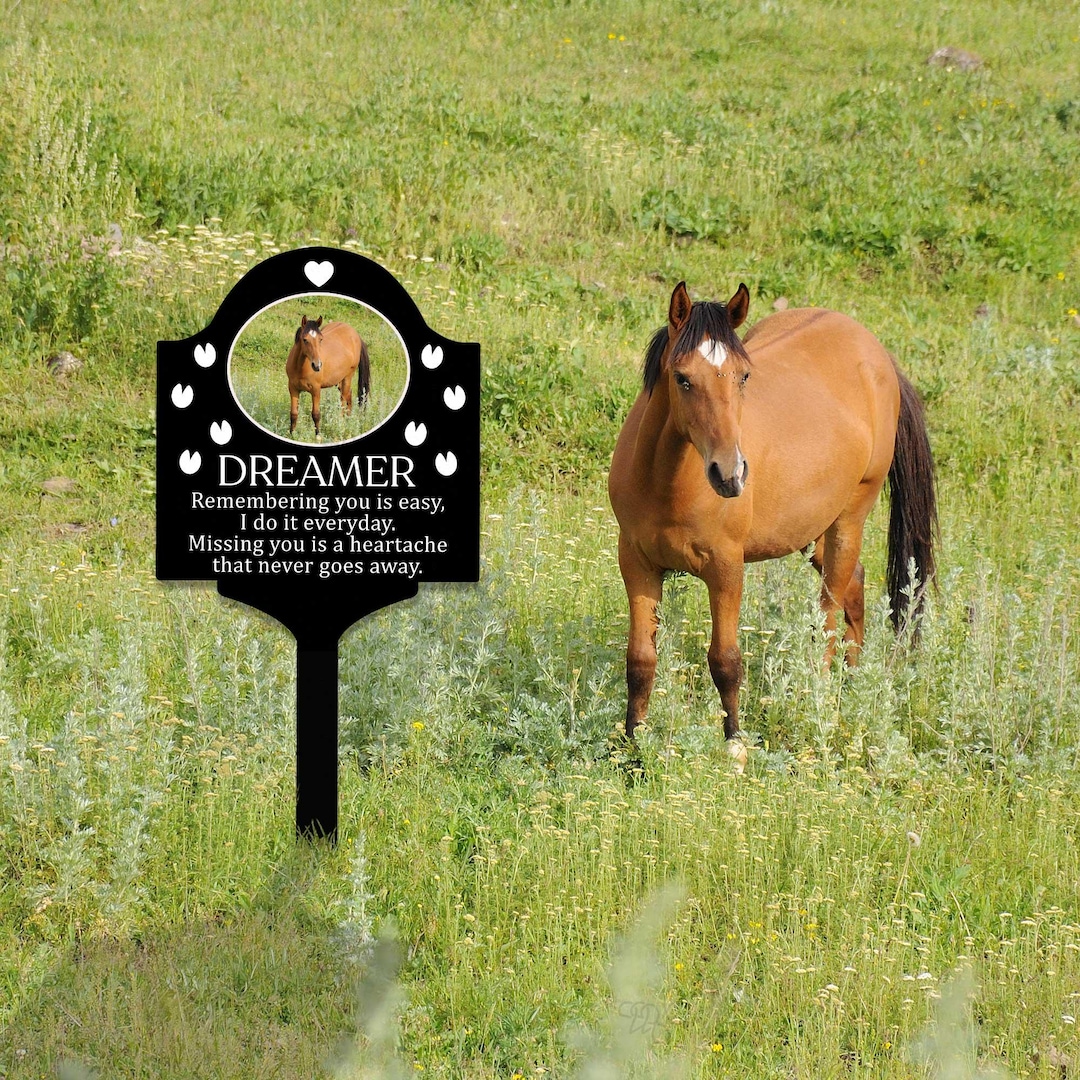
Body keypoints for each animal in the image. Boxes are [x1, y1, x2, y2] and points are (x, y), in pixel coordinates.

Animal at [608, 282, 937, 763]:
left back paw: (823, 699)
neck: (665, 481)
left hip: (849, 520)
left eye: (743, 376)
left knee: (828, 617)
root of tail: (877, 355)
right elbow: (640, 661)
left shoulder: (726, 569)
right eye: (682, 377)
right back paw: (853, 683)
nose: (730, 474)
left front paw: (734, 746)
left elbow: (725, 661)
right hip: (812, 533)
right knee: (854, 588)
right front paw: (631, 749)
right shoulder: (637, 565)